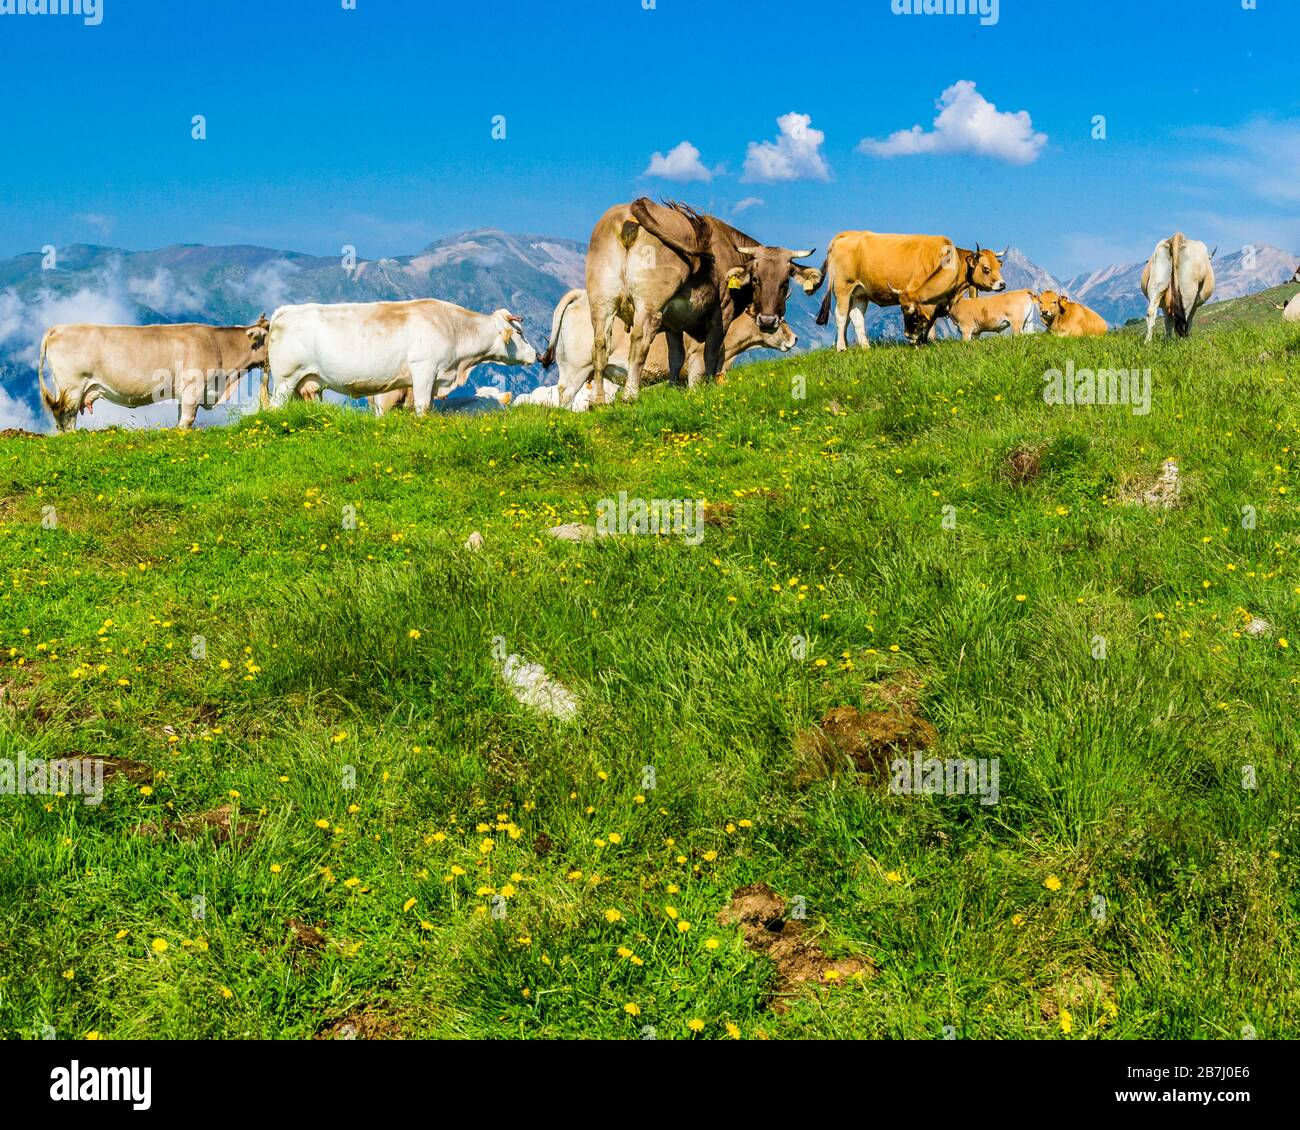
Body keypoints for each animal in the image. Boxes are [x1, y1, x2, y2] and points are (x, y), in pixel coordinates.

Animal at [37, 316, 269, 432]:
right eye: (270, 335)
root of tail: (60, 328)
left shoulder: (184, 392)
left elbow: (181, 417)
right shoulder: (193, 388)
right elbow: (188, 419)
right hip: (73, 386)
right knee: (66, 416)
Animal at [266, 300, 536, 412]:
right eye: (520, 332)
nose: (535, 354)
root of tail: (288, 309)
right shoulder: (424, 368)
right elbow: (422, 405)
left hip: (305, 383)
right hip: (285, 380)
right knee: (275, 409)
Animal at [537, 288, 797, 408]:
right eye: (781, 319)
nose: (794, 338)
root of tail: (581, 295)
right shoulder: (696, 361)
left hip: (567, 366)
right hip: (578, 367)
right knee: (565, 397)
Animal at [583, 198, 817, 404]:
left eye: (784, 282)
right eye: (756, 279)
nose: (768, 321)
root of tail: (631, 209)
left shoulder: (674, 323)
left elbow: (677, 357)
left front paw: (673, 389)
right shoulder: (721, 312)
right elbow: (710, 354)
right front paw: (708, 387)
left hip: (601, 299)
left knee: (599, 344)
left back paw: (598, 401)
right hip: (649, 304)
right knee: (639, 341)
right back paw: (630, 395)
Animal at [815, 233, 1006, 349]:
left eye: (999, 266)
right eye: (986, 268)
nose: (1002, 284)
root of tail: (847, 233)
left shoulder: (938, 301)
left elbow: (931, 319)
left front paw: (926, 341)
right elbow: (929, 320)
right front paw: (922, 341)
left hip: (860, 293)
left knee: (855, 317)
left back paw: (864, 346)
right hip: (843, 287)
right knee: (841, 316)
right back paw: (841, 347)